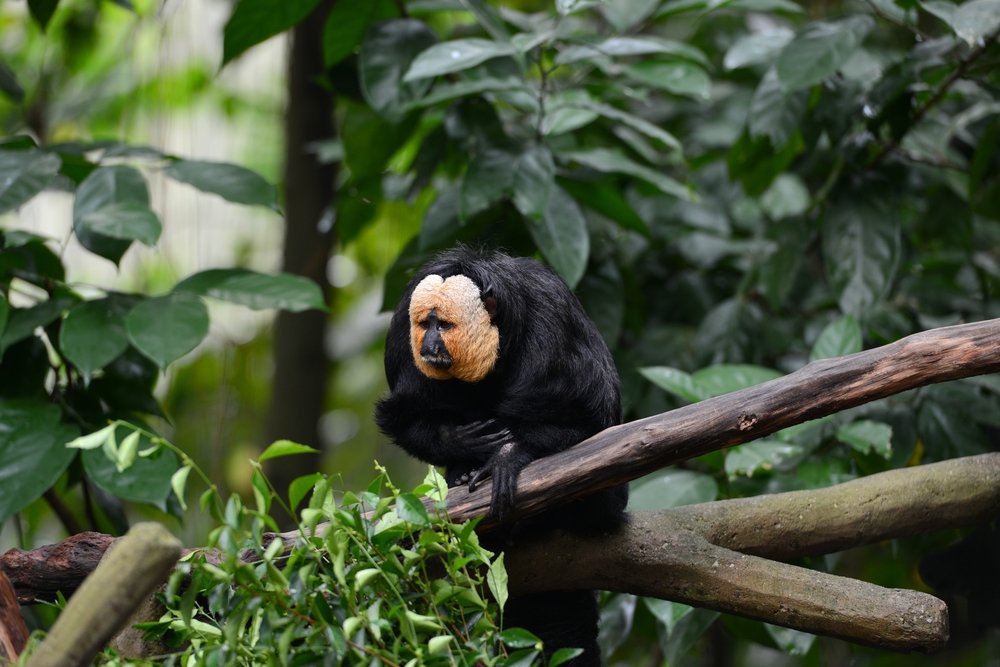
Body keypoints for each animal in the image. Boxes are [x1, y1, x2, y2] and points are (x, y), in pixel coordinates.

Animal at [374, 246, 628, 667]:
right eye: (424, 323)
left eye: (443, 325)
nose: (428, 344)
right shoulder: (401, 340)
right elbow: (405, 419)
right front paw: (463, 443)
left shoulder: (552, 321)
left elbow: (588, 417)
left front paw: (508, 457)